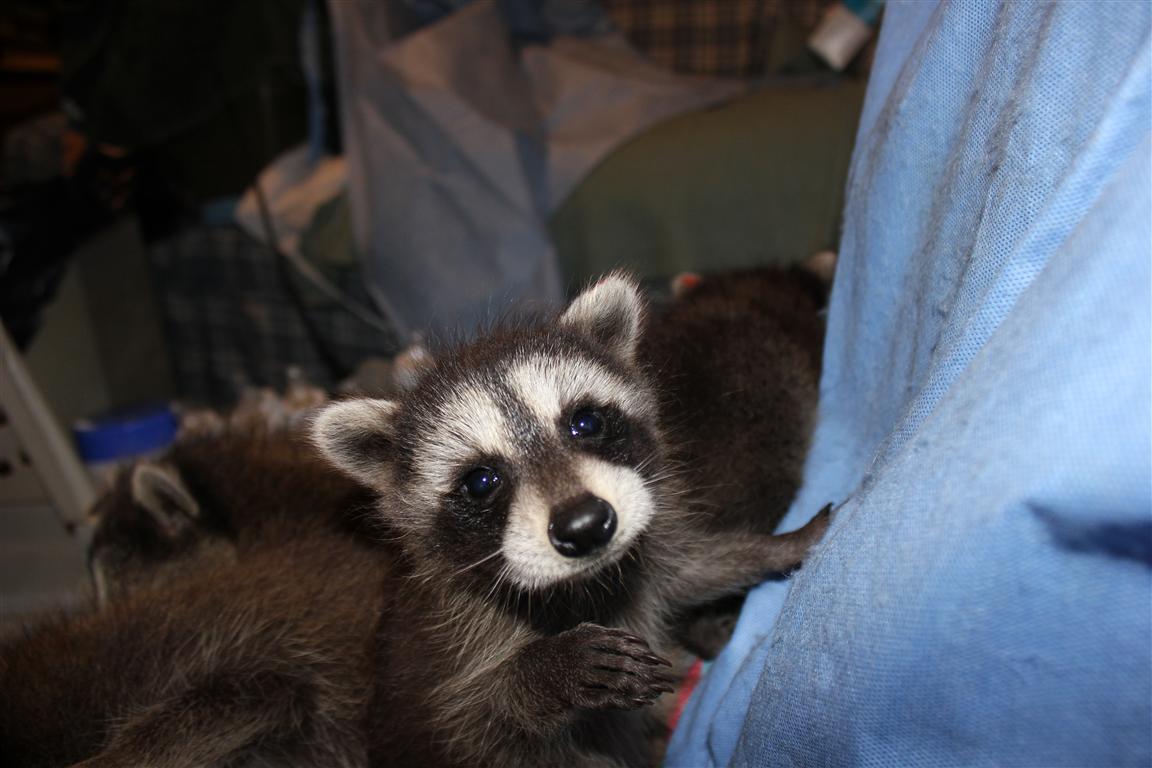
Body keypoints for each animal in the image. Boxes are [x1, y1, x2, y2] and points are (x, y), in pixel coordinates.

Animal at [312, 273, 829, 768]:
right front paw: (545, 672)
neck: (585, 583)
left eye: (586, 423)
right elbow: (481, 722)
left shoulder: (648, 563)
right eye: (481, 481)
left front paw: (782, 546)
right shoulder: (447, 662)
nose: (584, 525)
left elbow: (695, 569)